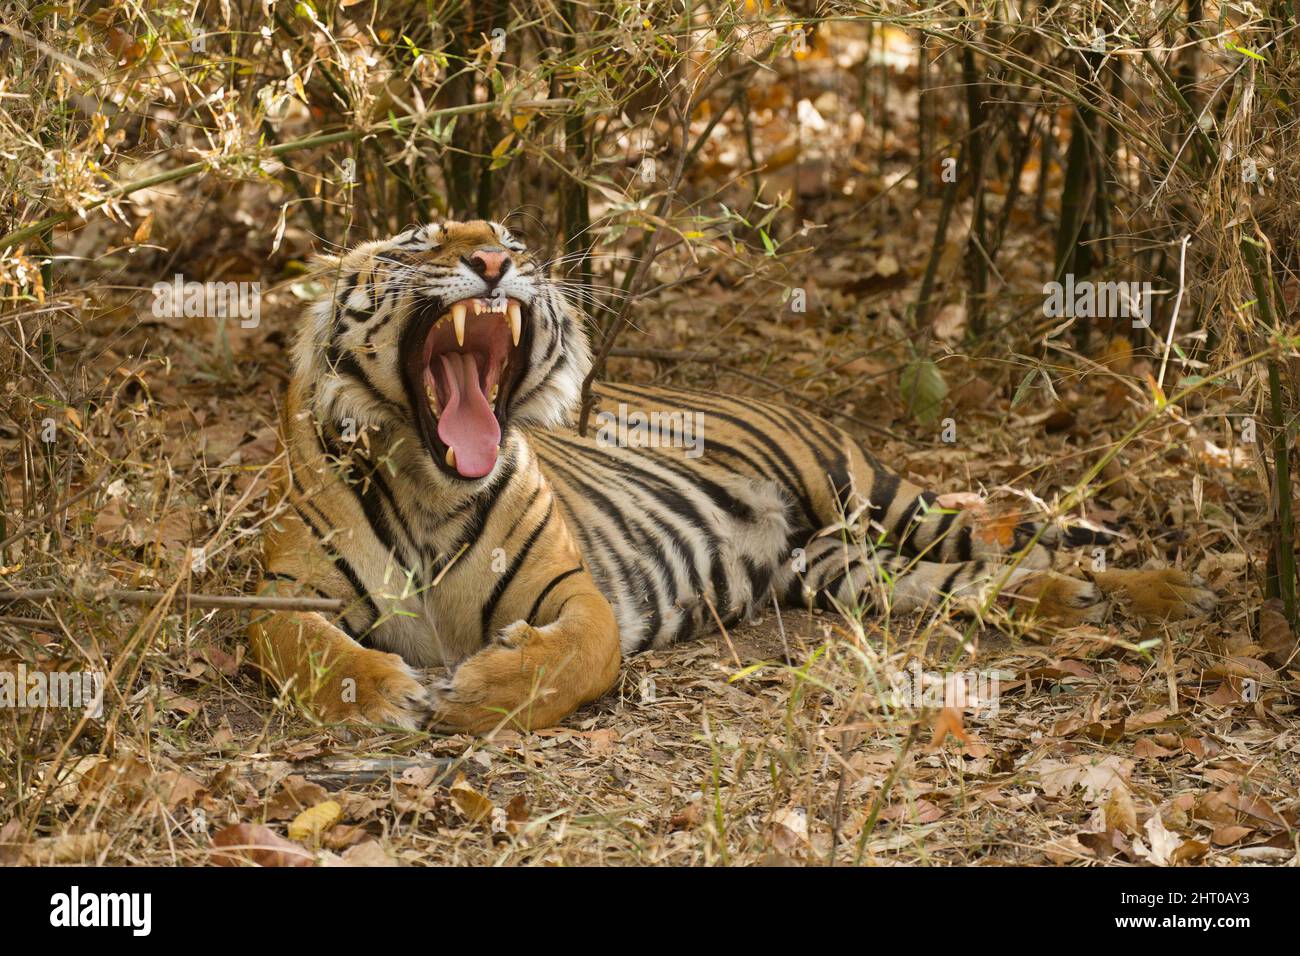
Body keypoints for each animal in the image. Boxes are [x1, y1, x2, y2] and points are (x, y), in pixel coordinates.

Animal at [249, 219, 1217, 733]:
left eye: (510, 239)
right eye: (421, 245)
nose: (496, 262)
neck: (429, 479)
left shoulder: (574, 593)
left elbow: (576, 655)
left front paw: (481, 691)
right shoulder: (279, 598)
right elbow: (306, 648)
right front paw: (384, 695)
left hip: (872, 493)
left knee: (1011, 540)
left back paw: (1168, 592)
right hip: (842, 569)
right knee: (974, 578)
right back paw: (1070, 601)